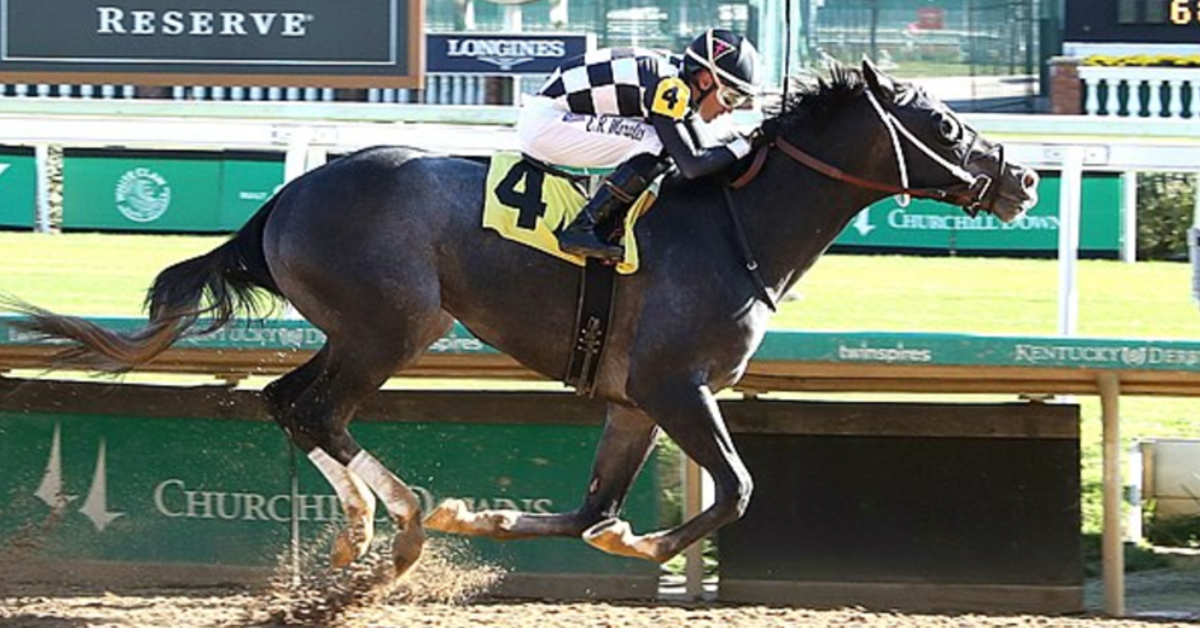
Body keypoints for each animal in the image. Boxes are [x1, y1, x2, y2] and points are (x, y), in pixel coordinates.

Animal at [1, 60, 1039, 578]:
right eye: (947, 128)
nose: (1024, 180)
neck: (738, 225)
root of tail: (287, 195)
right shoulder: (676, 384)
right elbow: (738, 489)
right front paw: (646, 549)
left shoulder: (634, 399)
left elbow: (592, 509)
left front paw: (499, 517)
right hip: (392, 329)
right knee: (312, 408)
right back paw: (396, 522)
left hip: (359, 331)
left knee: (289, 403)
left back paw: (375, 526)